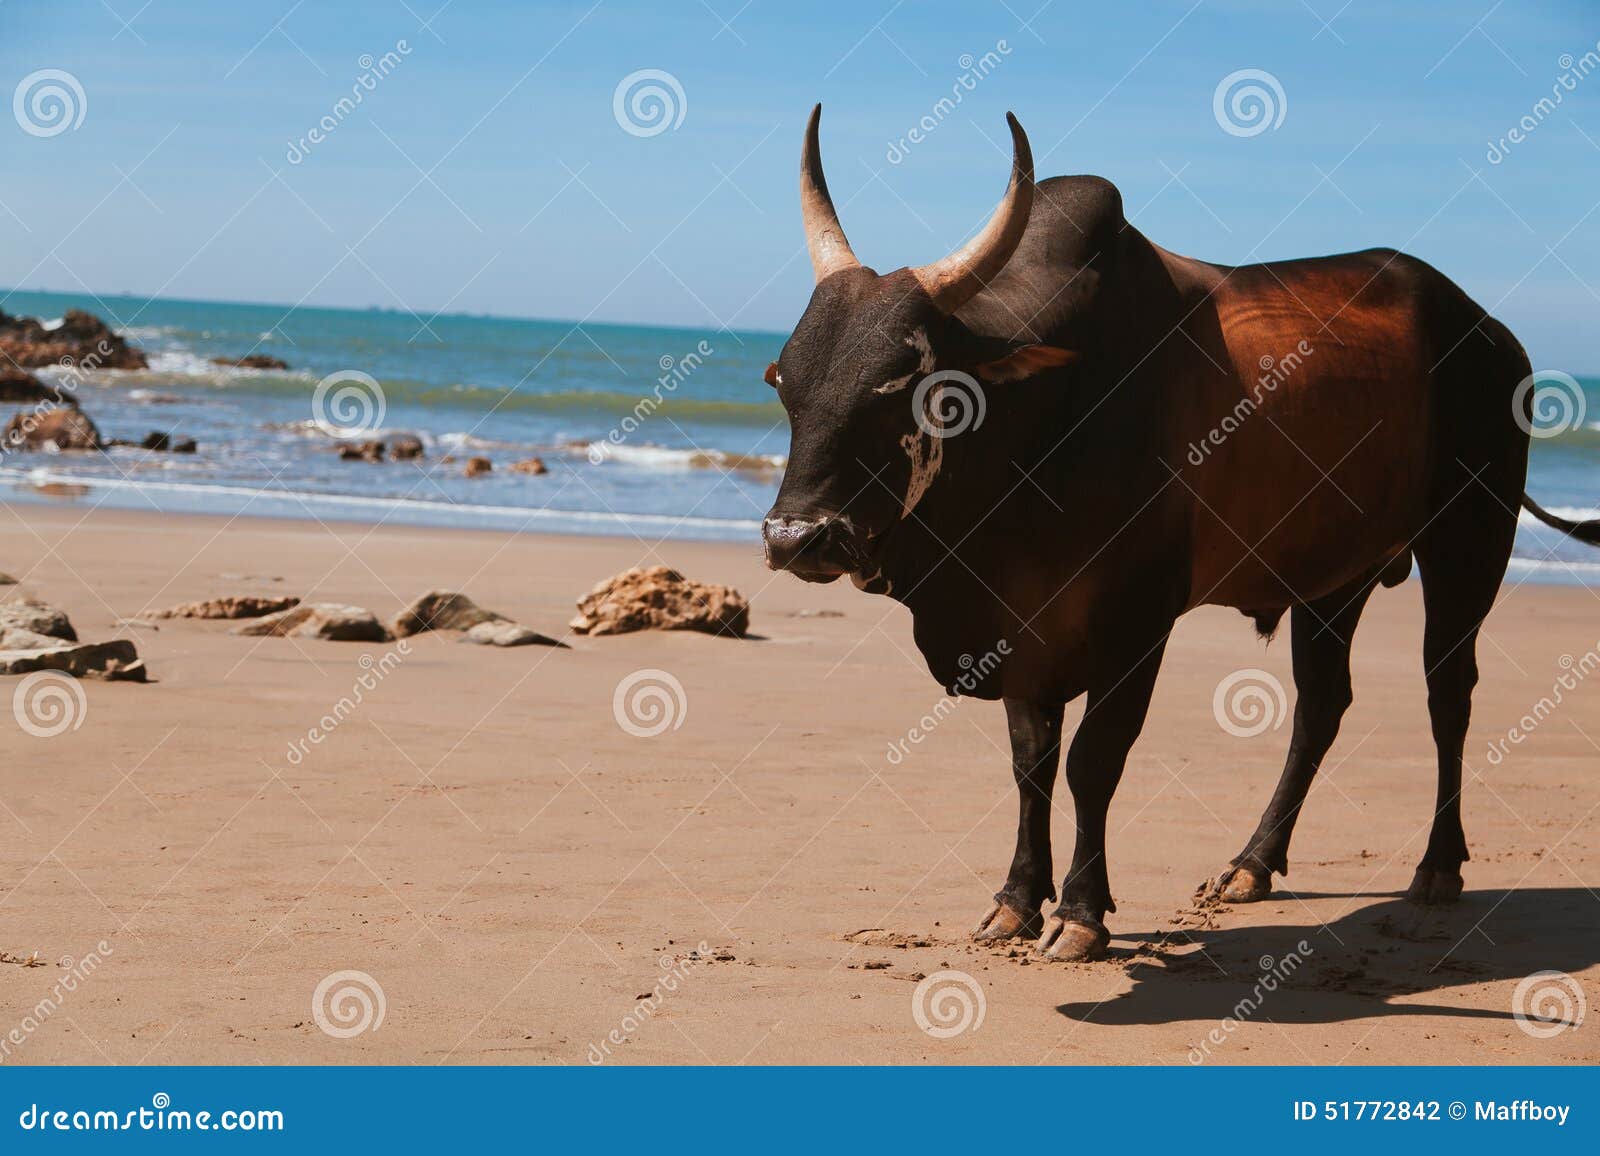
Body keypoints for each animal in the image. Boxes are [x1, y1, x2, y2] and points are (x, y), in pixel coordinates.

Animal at [760, 106, 1600, 961]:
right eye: (787, 383)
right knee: (1322, 706)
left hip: (1469, 543)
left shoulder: (1139, 619)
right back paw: (1253, 863)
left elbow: (1093, 761)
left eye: (904, 386)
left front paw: (1081, 913)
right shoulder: (1023, 627)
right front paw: (1016, 901)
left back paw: (1437, 867)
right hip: (1335, 580)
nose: (795, 537)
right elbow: (1032, 762)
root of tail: (1491, 331)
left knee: (1447, 694)